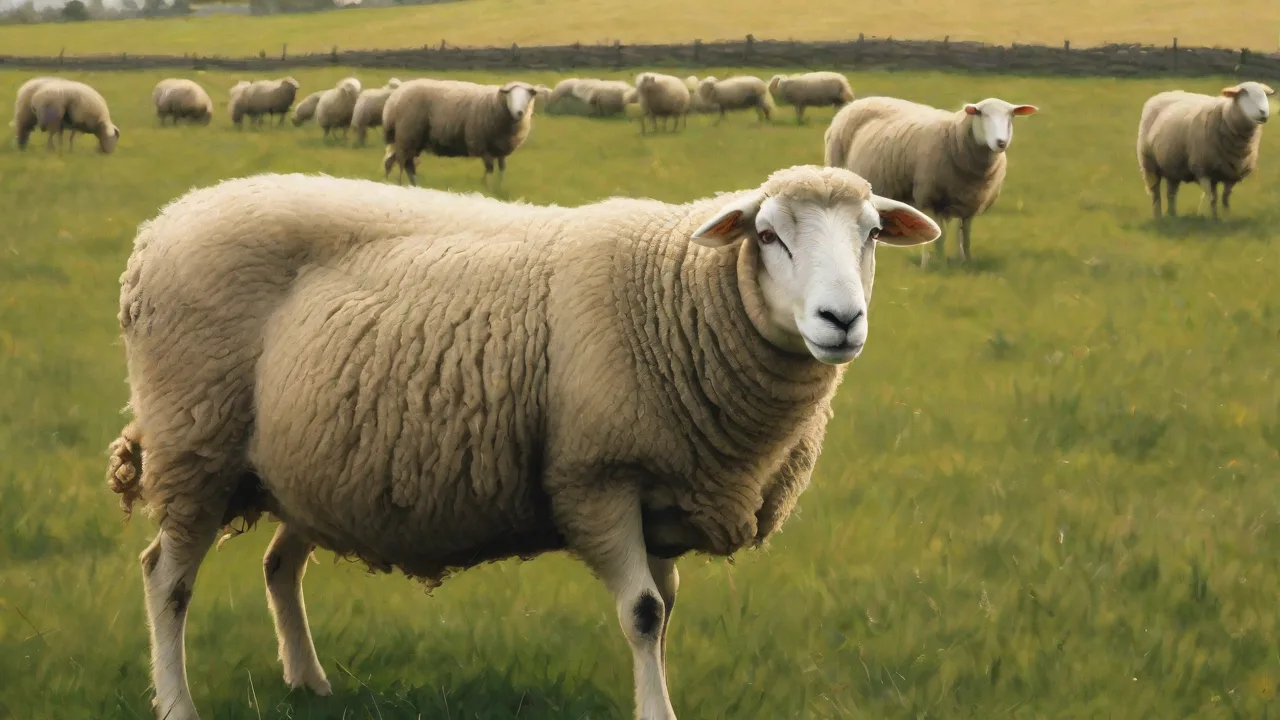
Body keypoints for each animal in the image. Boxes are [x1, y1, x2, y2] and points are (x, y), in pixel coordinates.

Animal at [105, 164, 939, 720]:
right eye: (767, 235)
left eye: (871, 234)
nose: (841, 320)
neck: (678, 294)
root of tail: (159, 227)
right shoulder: (594, 476)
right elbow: (643, 613)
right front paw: (656, 709)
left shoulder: (661, 492)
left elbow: (665, 611)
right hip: (193, 442)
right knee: (165, 580)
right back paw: (177, 705)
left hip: (303, 465)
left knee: (279, 565)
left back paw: (307, 682)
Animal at [381, 78, 536, 186]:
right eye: (510, 95)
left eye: (527, 96)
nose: (519, 112)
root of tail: (392, 100)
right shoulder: (482, 145)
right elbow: (489, 169)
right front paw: (486, 186)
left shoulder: (501, 149)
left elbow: (502, 169)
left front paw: (499, 187)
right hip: (406, 135)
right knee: (402, 163)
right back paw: (401, 184)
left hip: (409, 140)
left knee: (397, 163)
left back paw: (405, 184)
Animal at [824, 95, 1037, 267]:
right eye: (982, 114)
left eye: (1011, 116)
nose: (1001, 142)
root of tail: (856, 102)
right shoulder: (927, 197)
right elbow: (938, 237)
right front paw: (931, 264)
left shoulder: (970, 204)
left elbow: (965, 235)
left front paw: (965, 260)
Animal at [1137, 81, 1274, 221]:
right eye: (1244, 94)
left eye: (1264, 94)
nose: (1263, 112)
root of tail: (1167, 93)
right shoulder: (1203, 169)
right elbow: (1213, 198)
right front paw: (1215, 219)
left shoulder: (1231, 173)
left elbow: (1225, 198)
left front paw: (1226, 216)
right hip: (1148, 163)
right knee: (1155, 193)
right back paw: (1158, 216)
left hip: (1172, 165)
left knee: (1171, 193)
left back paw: (1172, 215)